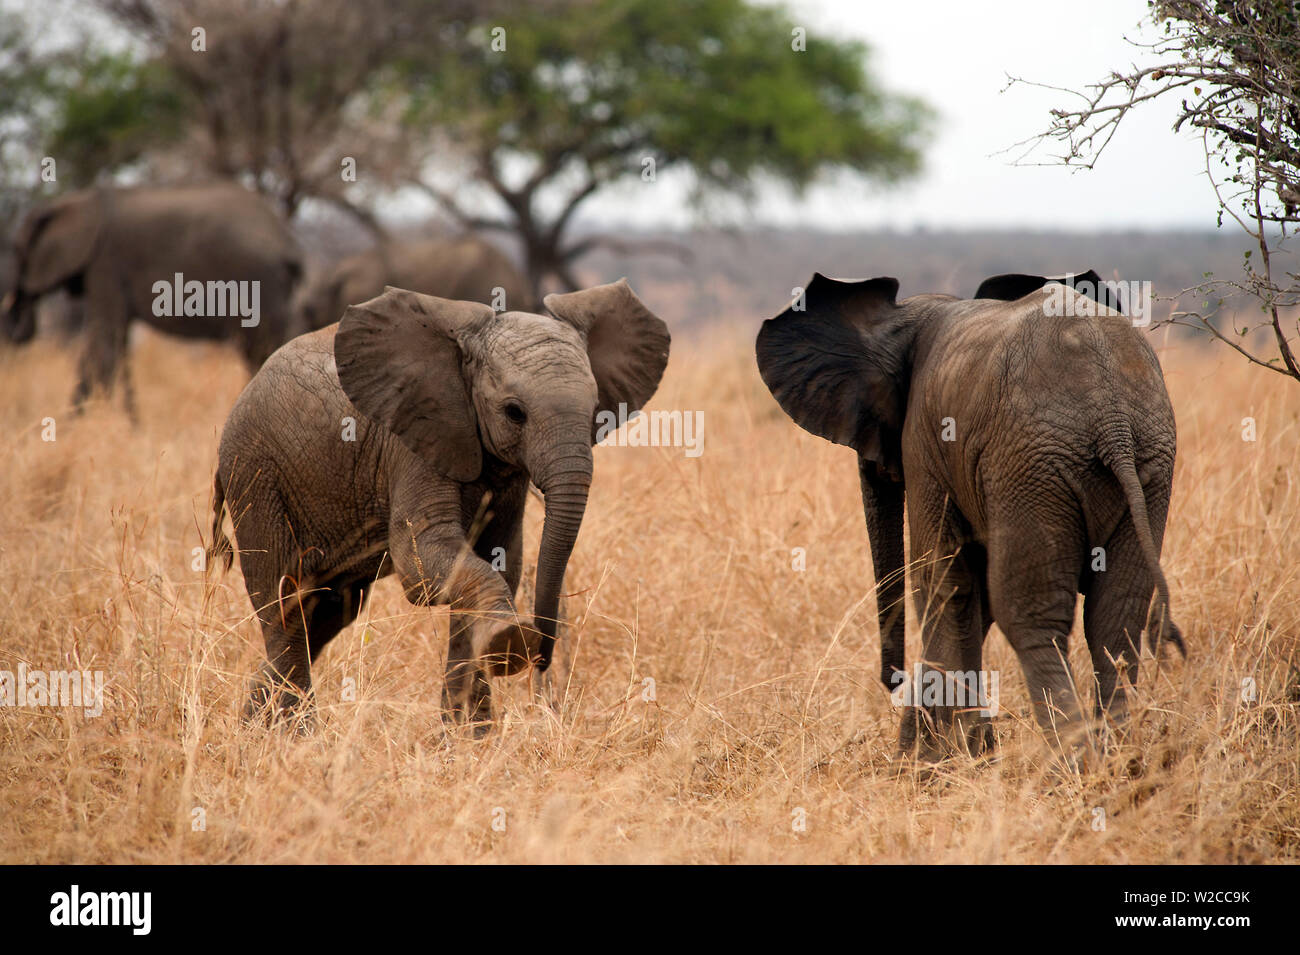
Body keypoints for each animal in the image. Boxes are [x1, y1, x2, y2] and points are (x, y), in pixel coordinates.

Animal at [1, 183, 303, 415]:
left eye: (16, 249)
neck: (83, 199)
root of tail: (287, 239)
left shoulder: (105, 263)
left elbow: (102, 345)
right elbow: (116, 343)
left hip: (256, 281)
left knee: (261, 348)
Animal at [209, 279, 669, 732]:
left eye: (596, 412)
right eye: (514, 413)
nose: (543, 657)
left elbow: (497, 561)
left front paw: (471, 737)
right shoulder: (412, 439)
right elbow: (424, 563)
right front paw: (508, 646)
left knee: (325, 613)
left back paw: (253, 726)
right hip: (255, 476)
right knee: (284, 601)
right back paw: (294, 735)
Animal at [756, 270, 1184, 760]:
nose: (891, 680)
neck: (910, 316)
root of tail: (1113, 420)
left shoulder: (926, 443)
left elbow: (942, 578)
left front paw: (941, 760)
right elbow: (972, 592)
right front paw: (964, 749)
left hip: (1032, 465)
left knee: (1031, 616)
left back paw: (1073, 763)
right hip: (1148, 465)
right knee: (1117, 617)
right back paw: (1118, 762)